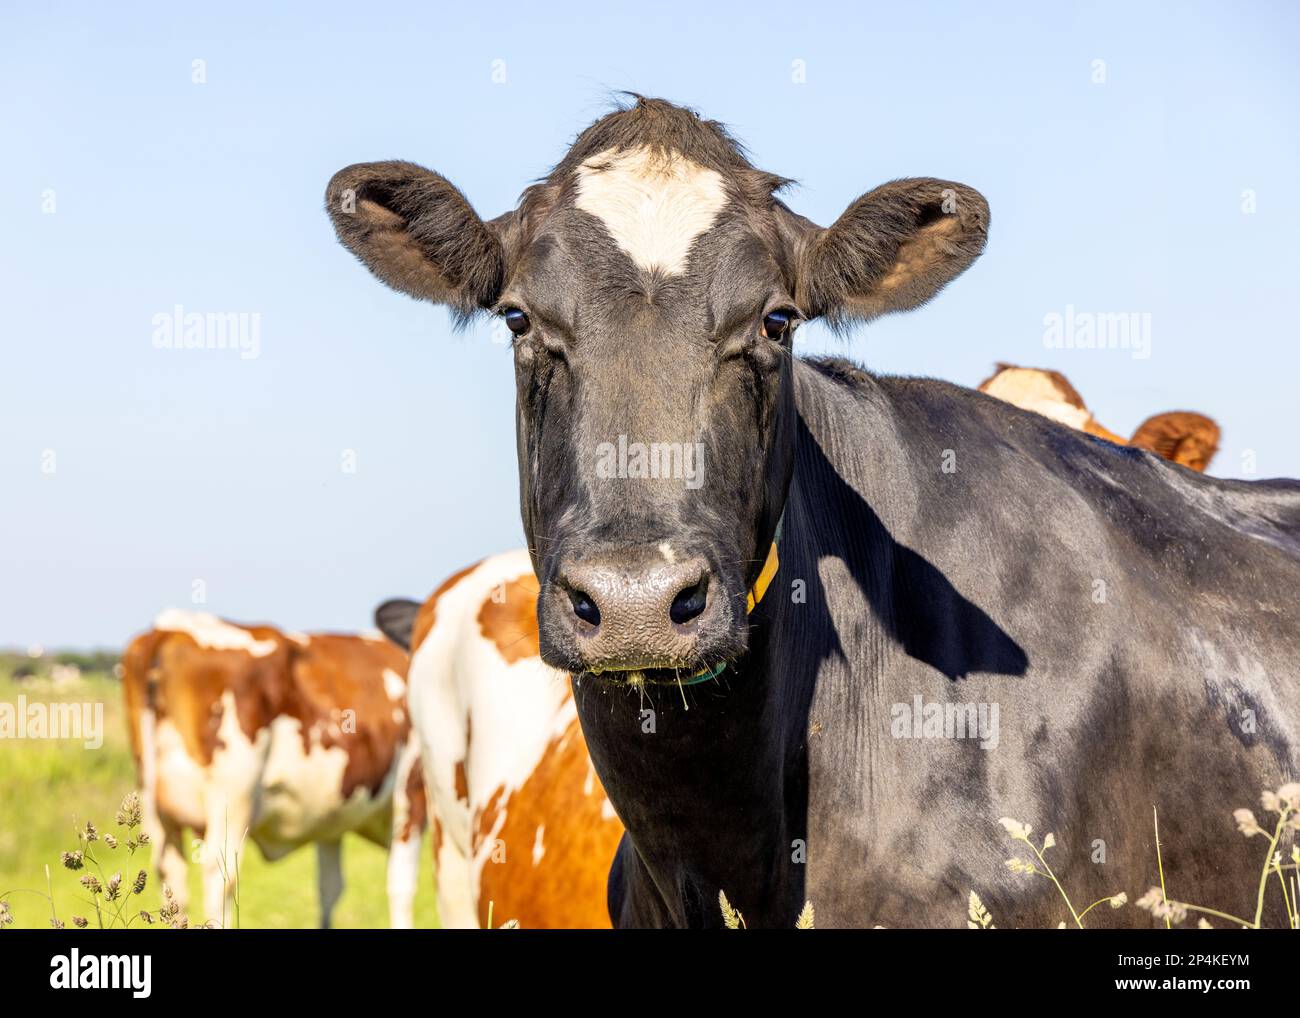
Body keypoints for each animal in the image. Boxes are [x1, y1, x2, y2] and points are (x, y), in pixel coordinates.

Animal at [122, 610, 426, 928]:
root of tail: (171, 628)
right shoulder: (413, 793)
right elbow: (402, 886)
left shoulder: (332, 819)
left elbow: (329, 888)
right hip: (232, 798)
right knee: (220, 881)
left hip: (158, 808)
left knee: (173, 883)